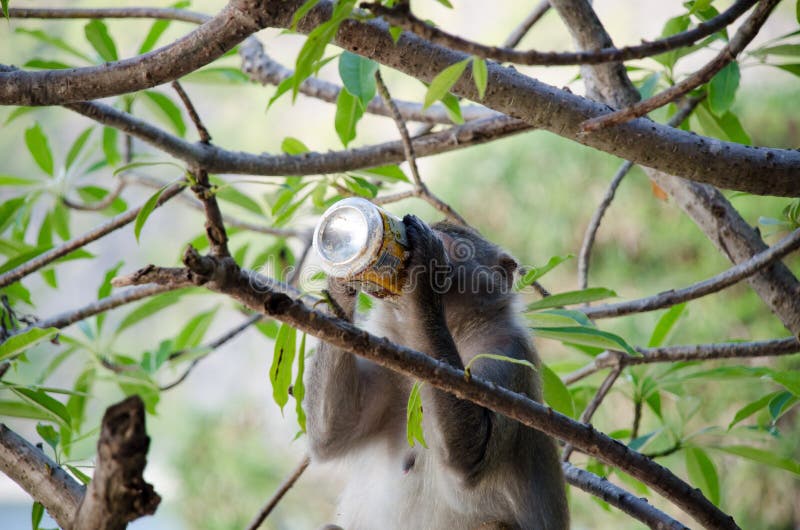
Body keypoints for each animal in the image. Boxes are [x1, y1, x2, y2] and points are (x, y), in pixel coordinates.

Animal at [305, 215, 569, 530]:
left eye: (448, 244)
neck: (455, 331)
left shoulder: (509, 353)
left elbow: (471, 455)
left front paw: (424, 268)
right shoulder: (391, 352)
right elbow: (331, 434)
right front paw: (342, 275)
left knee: (493, 524)